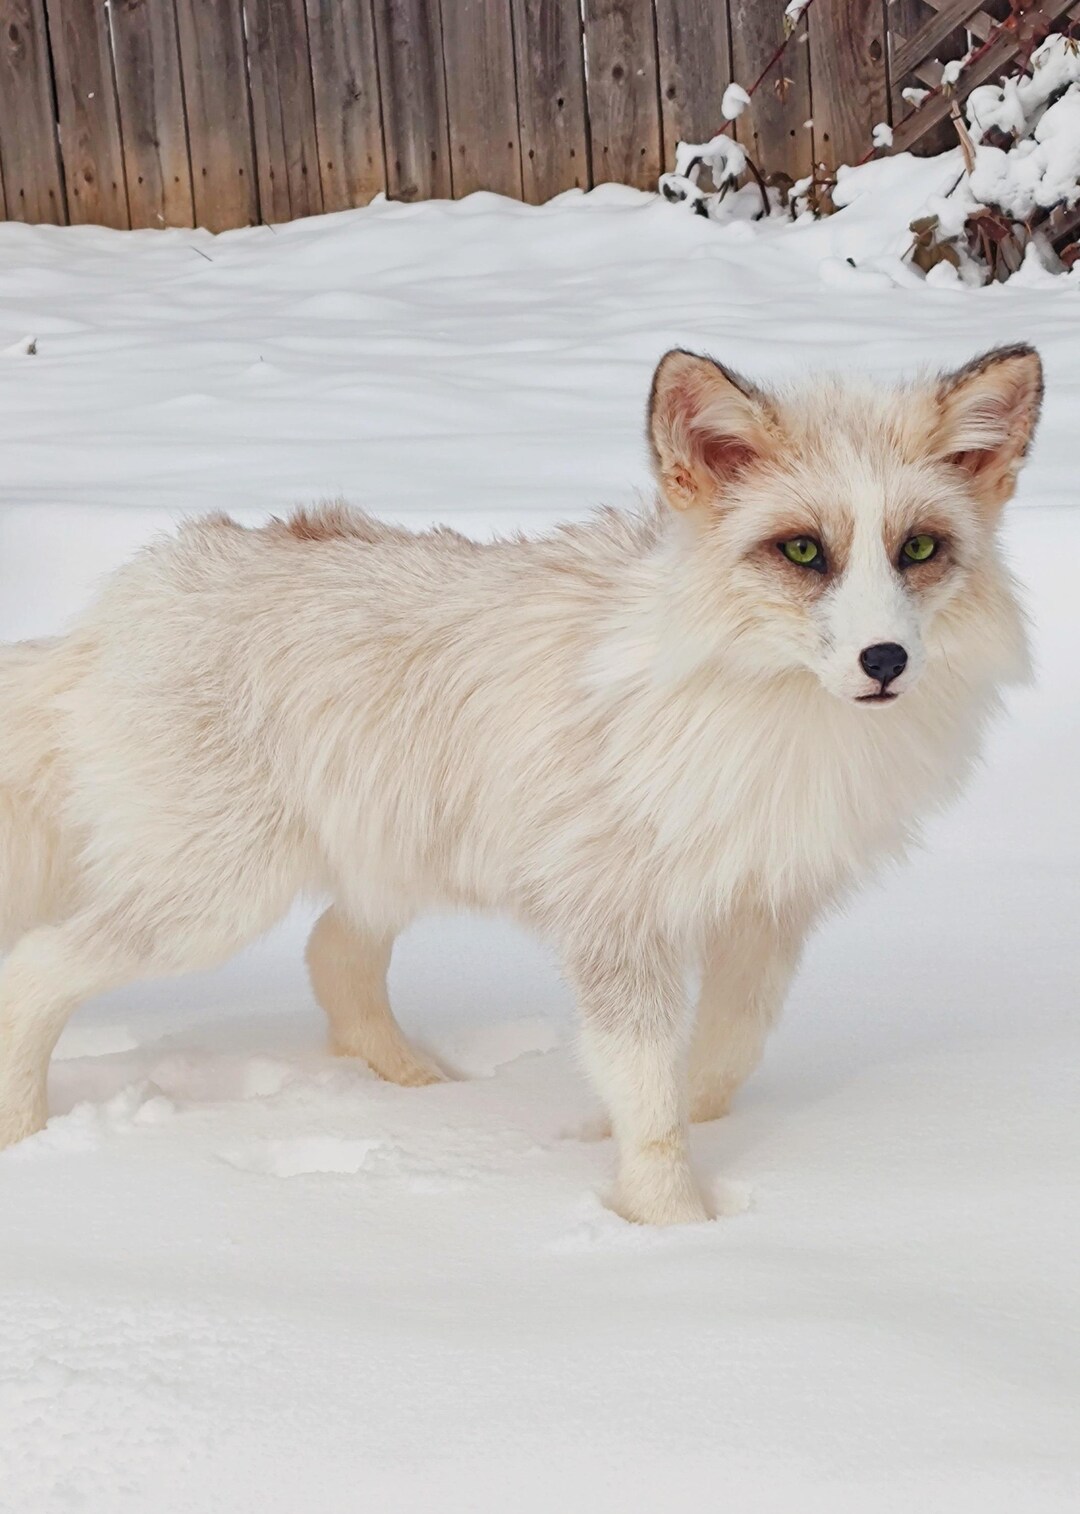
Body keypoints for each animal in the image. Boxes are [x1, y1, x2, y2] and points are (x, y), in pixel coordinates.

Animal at [0, 344, 1040, 1225]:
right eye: (801, 551)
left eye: (918, 549)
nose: (885, 661)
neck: (765, 711)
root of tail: (114, 611)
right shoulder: (620, 924)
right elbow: (651, 1092)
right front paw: (677, 1235)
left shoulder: (766, 909)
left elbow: (722, 1058)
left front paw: (652, 1151)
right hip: (211, 902)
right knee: (34, 971)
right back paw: (28, 1142)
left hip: (382, 858)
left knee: (333, 953)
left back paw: (415, 1089)